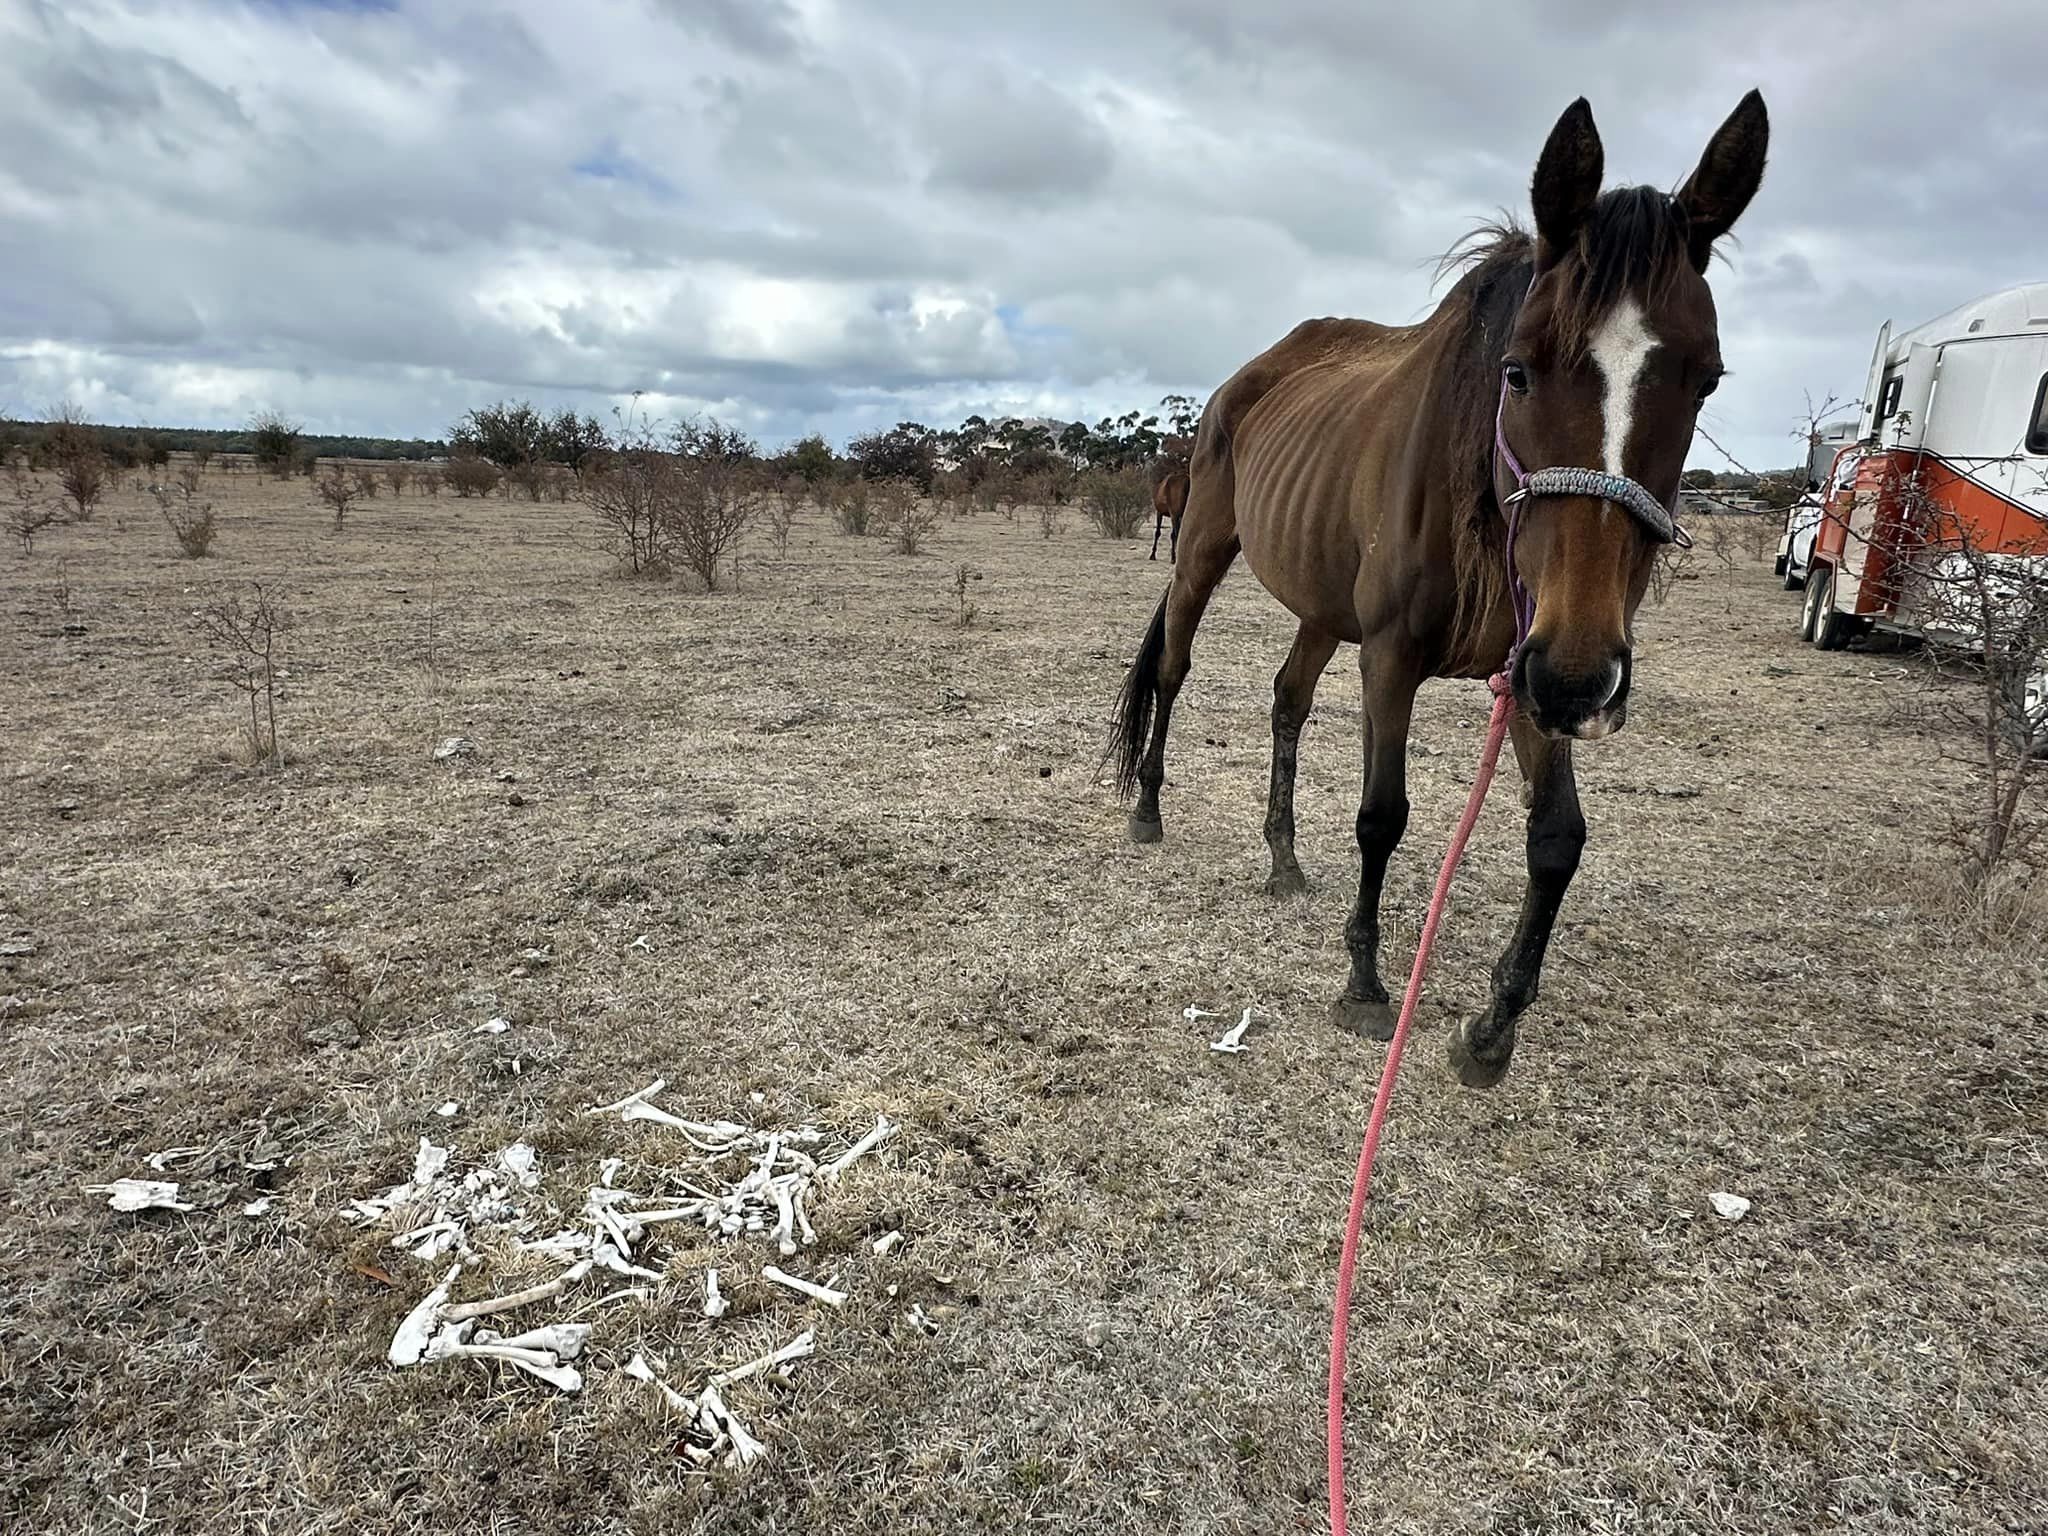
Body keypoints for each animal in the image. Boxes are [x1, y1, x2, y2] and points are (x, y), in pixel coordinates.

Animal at [1108, 92, 1769, 1087]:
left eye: (1707, 379)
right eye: (1518, 368)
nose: (1586, 677)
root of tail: (1245, 380)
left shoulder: (1534, 669)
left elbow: (1557, 840)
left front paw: (1494, 1024)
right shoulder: (1396, 657)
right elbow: (1383, 814)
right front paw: (1365, 983)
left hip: (1325, 607)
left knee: (1288, 699)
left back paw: (1283, 856)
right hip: (1202, 557)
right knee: (1175, 670)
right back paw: (1150, 808)